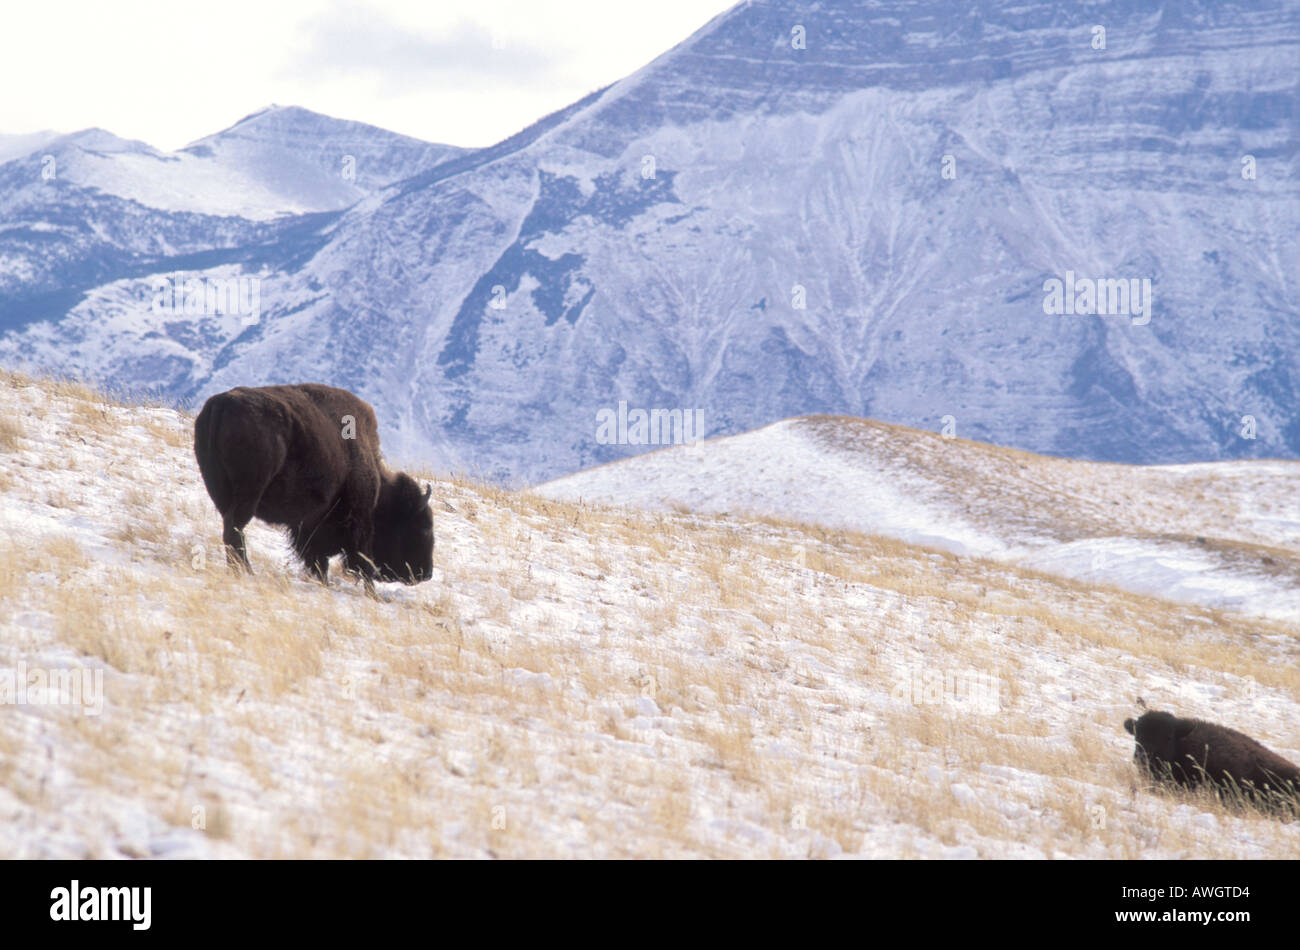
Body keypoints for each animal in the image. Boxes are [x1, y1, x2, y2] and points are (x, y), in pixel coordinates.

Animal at [194, 383, 434, 590]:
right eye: (423, 527)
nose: (426, 574)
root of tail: (220, 404)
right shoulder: (358, 521)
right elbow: (360, 562)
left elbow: (318, 560)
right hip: (249, 493)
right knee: (235, 528)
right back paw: (245, 571)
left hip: (220, 490)